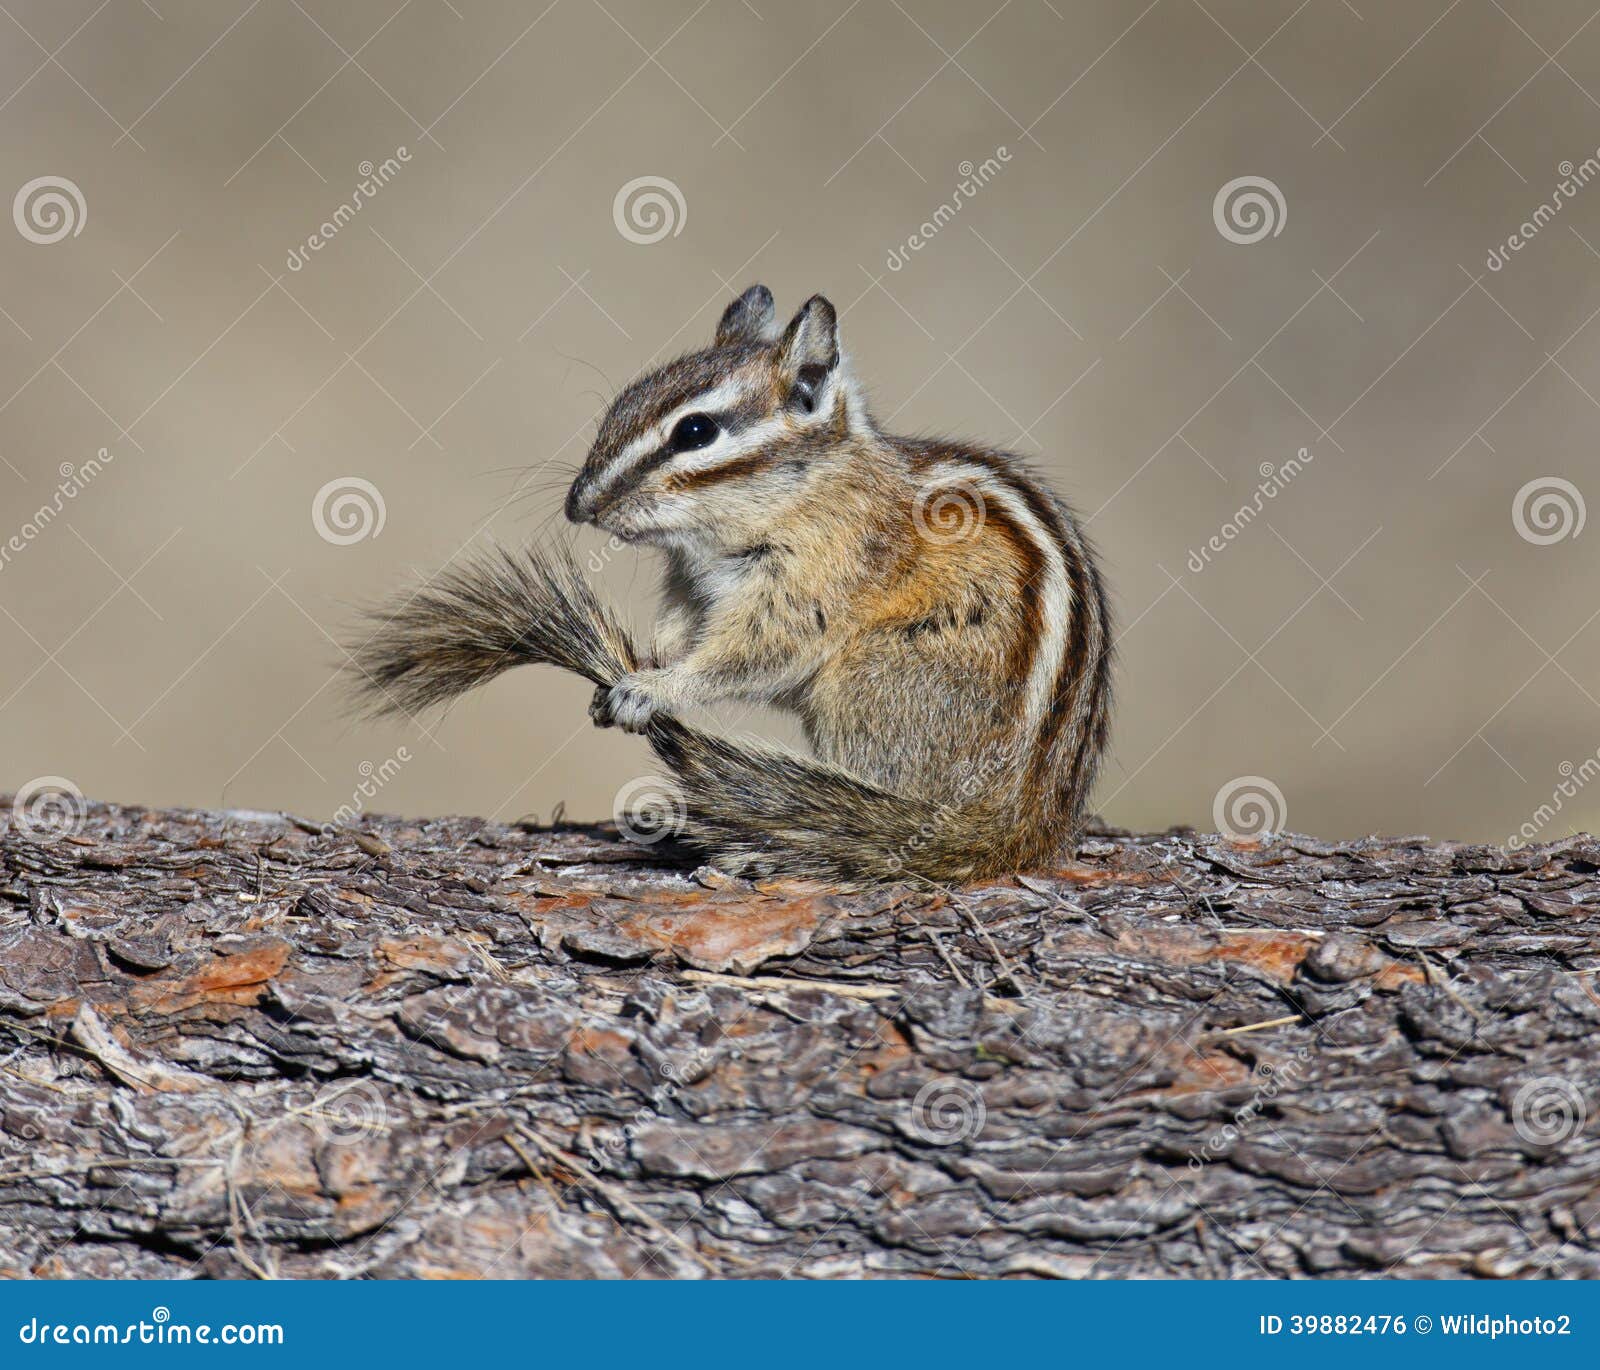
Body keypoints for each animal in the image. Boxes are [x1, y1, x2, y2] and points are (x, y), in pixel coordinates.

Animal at [348, 284, 1112, 885]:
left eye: (695, 432)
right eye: (622, 401)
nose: (579, 505)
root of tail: (1022, 822)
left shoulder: (812, 580)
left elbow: (755, 652)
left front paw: (655, 687)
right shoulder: (693, 587)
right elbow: (685, 630)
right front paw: (645, 666)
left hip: (879, 679)